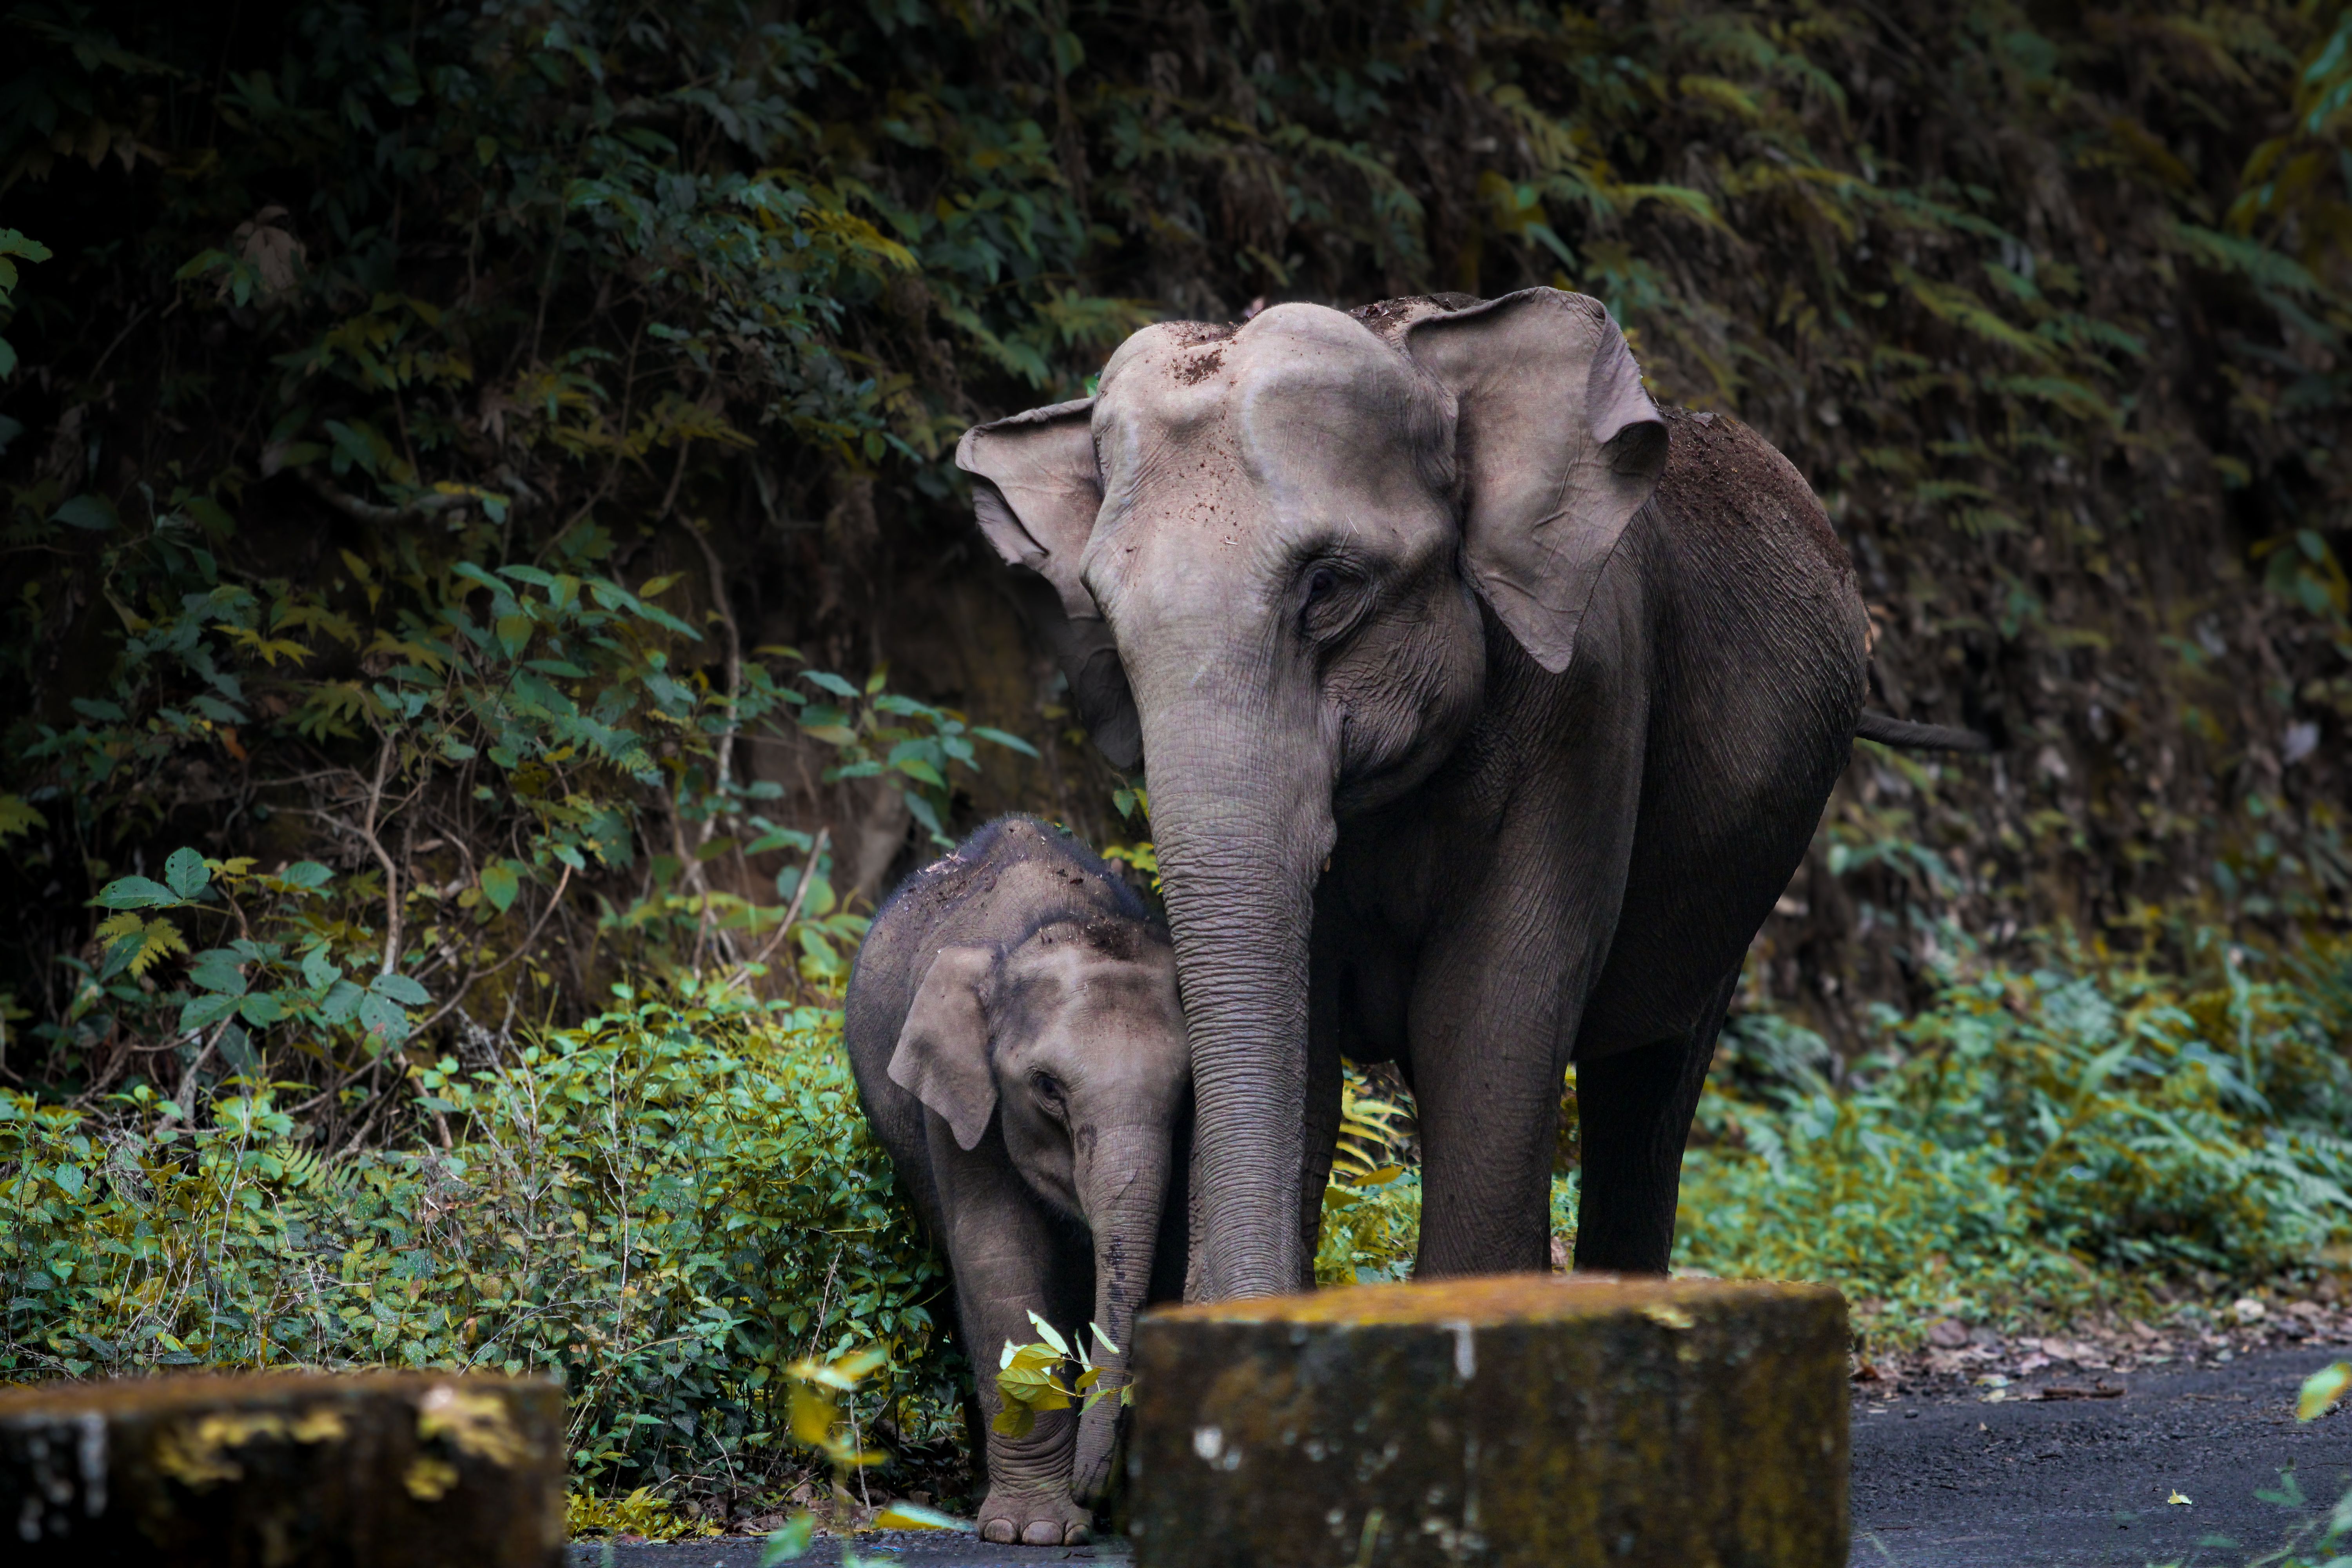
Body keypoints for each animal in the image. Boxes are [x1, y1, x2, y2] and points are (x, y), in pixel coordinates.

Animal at [844, 814, 1190, 1544]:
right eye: (1047, 1088)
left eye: (1183, 1090)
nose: (1095, 1496)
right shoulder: (956, 1096)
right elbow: (998, 1254)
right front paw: (1030, 1532)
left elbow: (1171, 1256)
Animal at [956, 287, 1961, 1304]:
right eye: (1106, 619)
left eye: (1328, 586)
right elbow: (1305, 1048)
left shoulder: (1588, 706)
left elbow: (1482, 1026)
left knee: (1649, 1081)